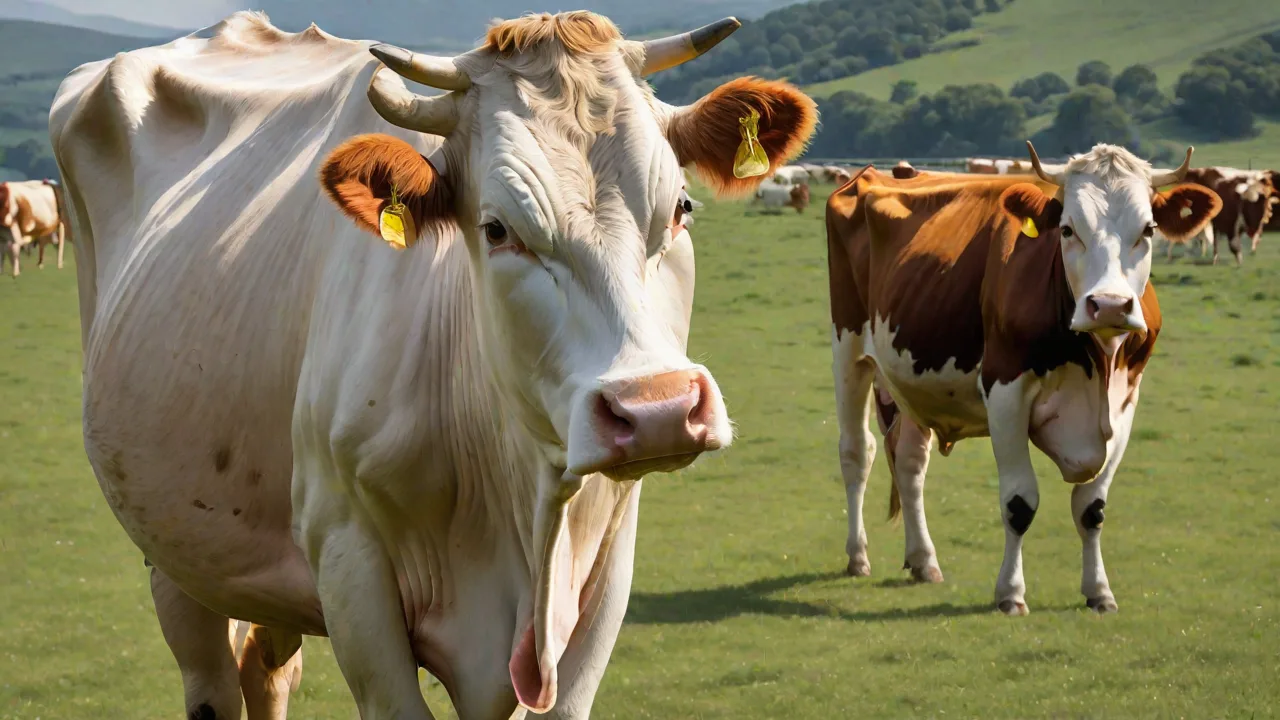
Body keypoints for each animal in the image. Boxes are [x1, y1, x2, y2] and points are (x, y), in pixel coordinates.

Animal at [51, 10, 816, 719]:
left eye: (681, 206)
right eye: (497, 228)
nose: (657, 409)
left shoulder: (604, 566)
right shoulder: (349, 563)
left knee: (266, 673)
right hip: (174, 550)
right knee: (210, 677)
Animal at [825, 142, 1219, 616]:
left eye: (1148, 229)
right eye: (1067, 229)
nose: (1109, 305)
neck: (1096, 361)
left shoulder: (1126, 401)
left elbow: (1092, 507)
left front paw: (1099, 591)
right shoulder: (1006, 394)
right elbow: (1019, 502)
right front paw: (1011, 593)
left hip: (912, 377)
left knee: (909, 462)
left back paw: (923, 560)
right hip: (848, 350)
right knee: (856, 451)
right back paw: (857, 555)